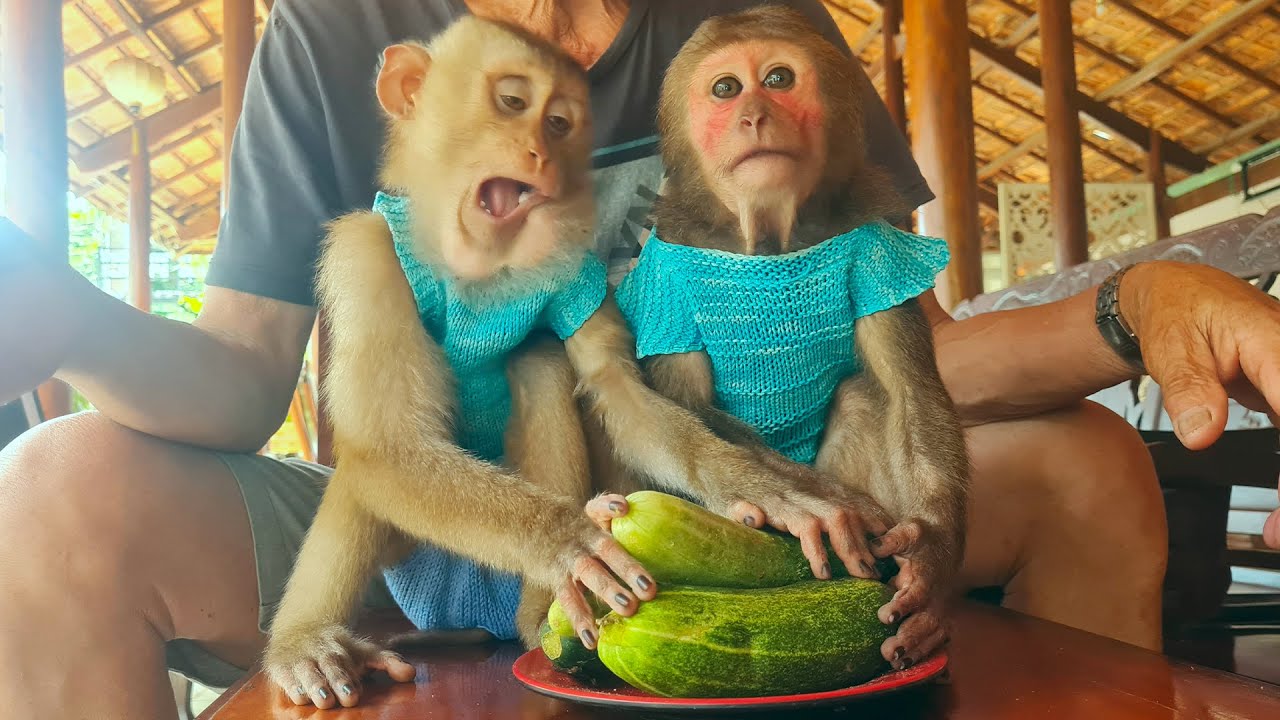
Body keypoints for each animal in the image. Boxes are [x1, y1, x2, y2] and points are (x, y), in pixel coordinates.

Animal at [263, 15, 896, 710]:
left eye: (559, 123)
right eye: (512, 102)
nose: (540, 152)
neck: (480, 266)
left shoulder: (572, 262)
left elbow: (616, 387)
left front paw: (755, 488)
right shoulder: (364, 253)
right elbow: (384, 442)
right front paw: (566, 540)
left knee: (539, 359)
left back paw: (539, 619)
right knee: (375, 463)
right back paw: (307, 642)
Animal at [600, 6, 972, 673]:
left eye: (777, 79)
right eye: (725, 88)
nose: (753, 115)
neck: (769, 240)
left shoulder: (876, 246)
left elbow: (911, 391)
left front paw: (930, 563)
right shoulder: (668, 275)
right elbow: (690, 408)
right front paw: (818, 504)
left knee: (868, 397)